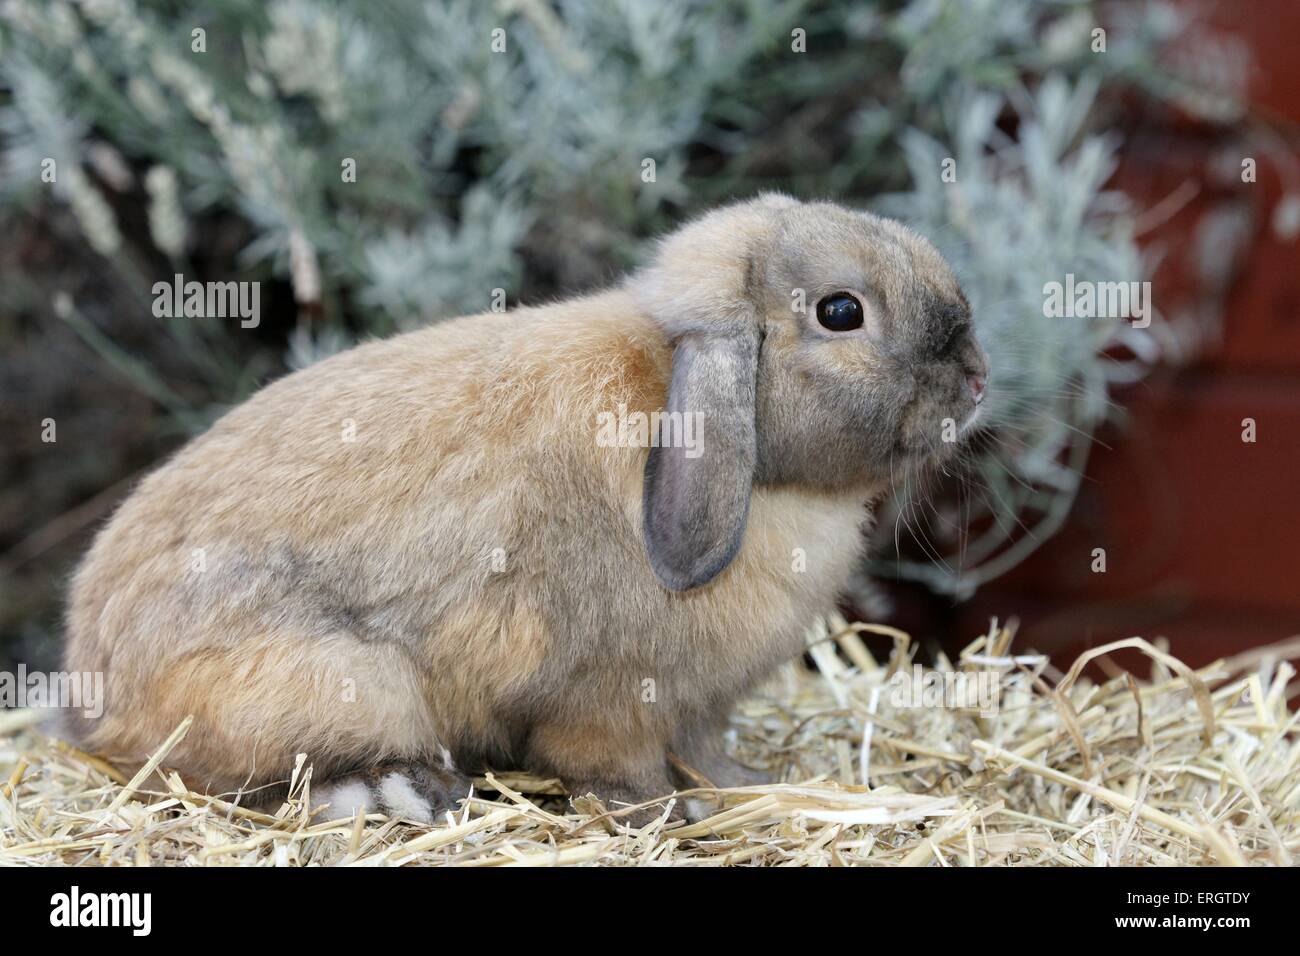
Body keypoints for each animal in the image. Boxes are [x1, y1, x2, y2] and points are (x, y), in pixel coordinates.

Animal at [62, 193, 988, 825]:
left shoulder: (698, 711)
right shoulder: (609, 701)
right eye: (841, 312)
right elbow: (618, 771)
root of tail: (94, 698)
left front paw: (747, 788)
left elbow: (705, 754)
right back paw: (411, 791)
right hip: (353, 685)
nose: (978, 380)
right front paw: (662, 816)